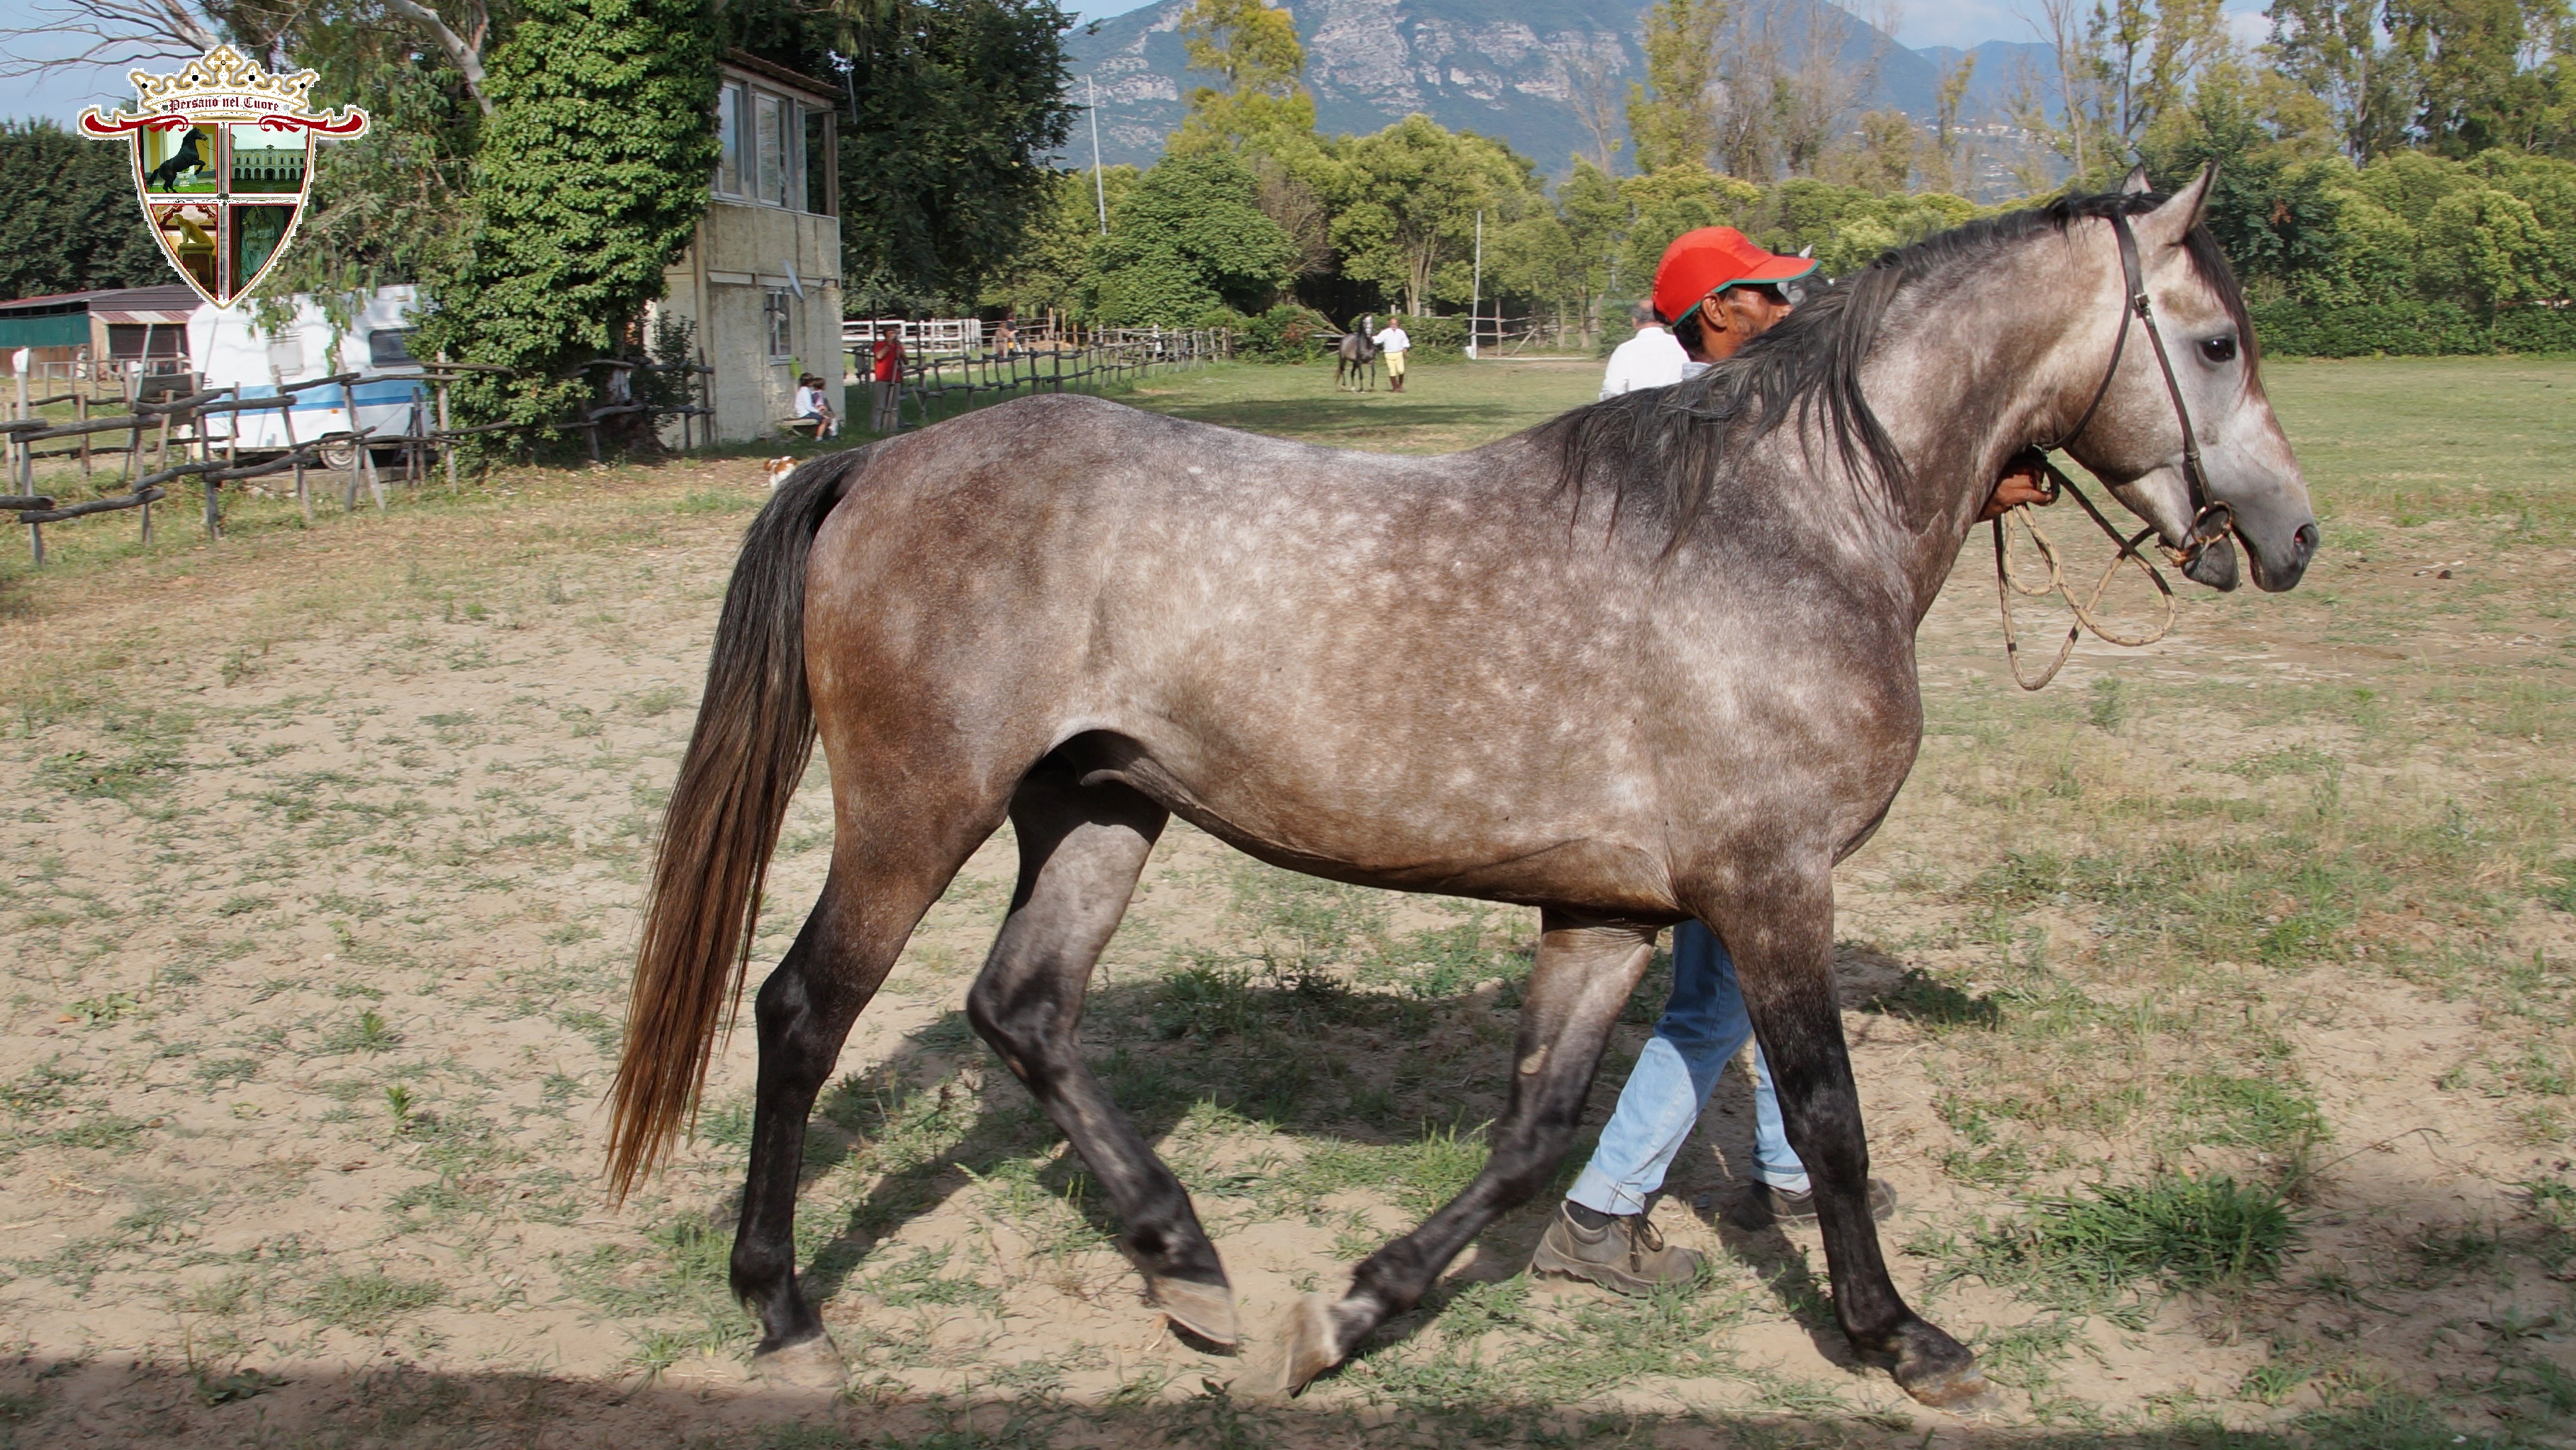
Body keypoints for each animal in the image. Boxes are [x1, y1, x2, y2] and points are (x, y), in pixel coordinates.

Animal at [608, 168, 2315, 1406]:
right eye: (2216, 343)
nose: (2289, 538)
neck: (1788, 522)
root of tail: (873, 464)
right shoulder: (1773, 890)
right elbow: (1825, 1116)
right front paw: (1901, 1335)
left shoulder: (1613, 912)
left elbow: (1533, 1132)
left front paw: (1346, 1315)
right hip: (919, 812)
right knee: (802, 1015)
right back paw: (784, 1311)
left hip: (1097, 808)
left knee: (1023, 1010)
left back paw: (1190, 1268)